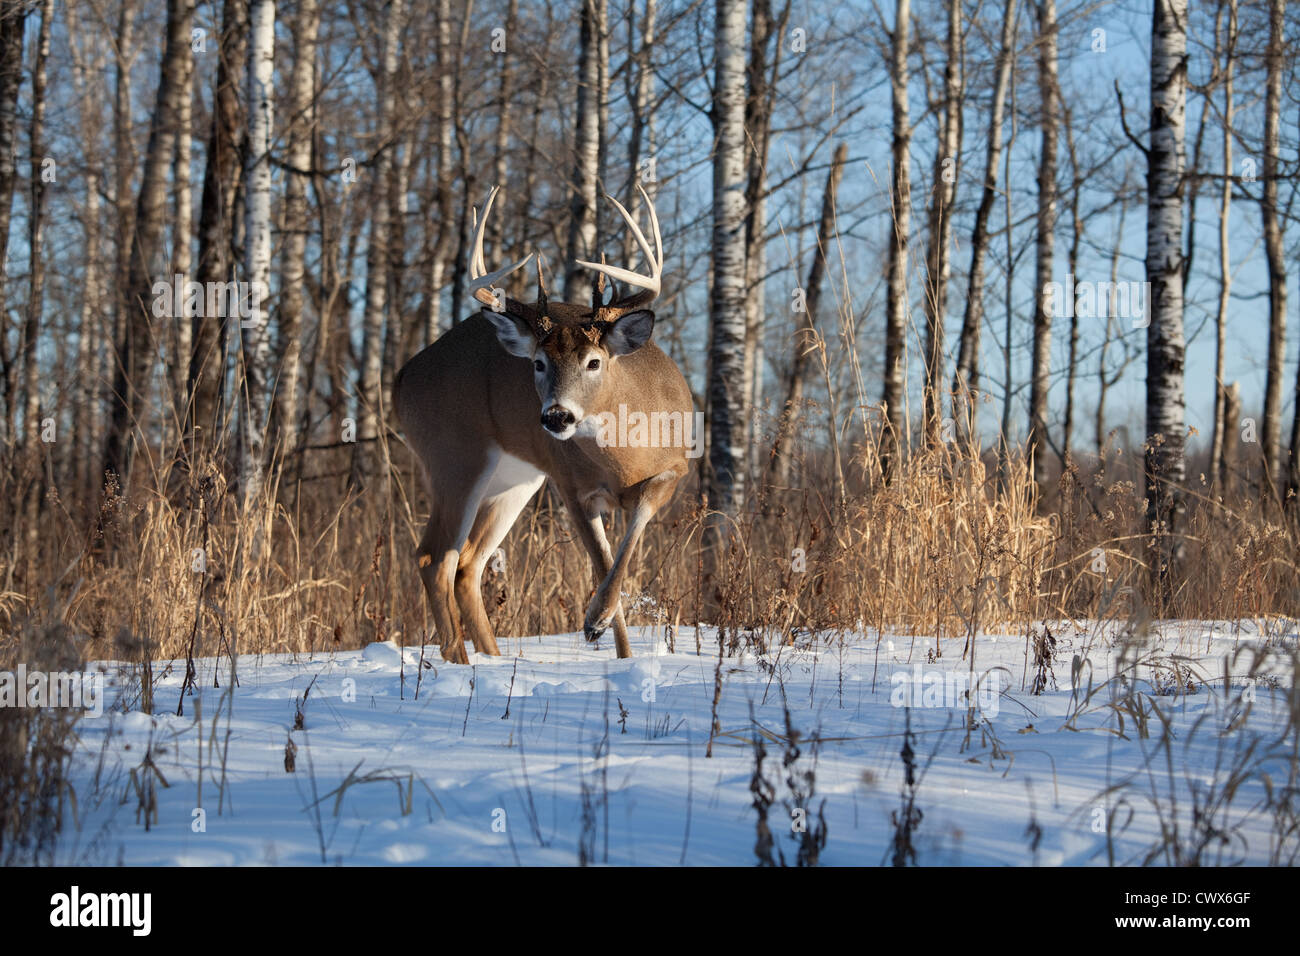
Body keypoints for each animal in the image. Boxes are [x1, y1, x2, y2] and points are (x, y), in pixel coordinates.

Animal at [394, 185, 693, 664]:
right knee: (435, 558)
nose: (556, 416)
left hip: (514, 478)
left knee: (468, 563)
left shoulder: (675, 467)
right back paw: (461, 661)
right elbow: (603, 562)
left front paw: (612, 641)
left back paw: (492, 658)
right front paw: (596, 623)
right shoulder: (570, 486)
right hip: (454, 457)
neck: (624, 461)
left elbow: (629, 535)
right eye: (537, 363)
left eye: (594, 361)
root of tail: (402, 378)